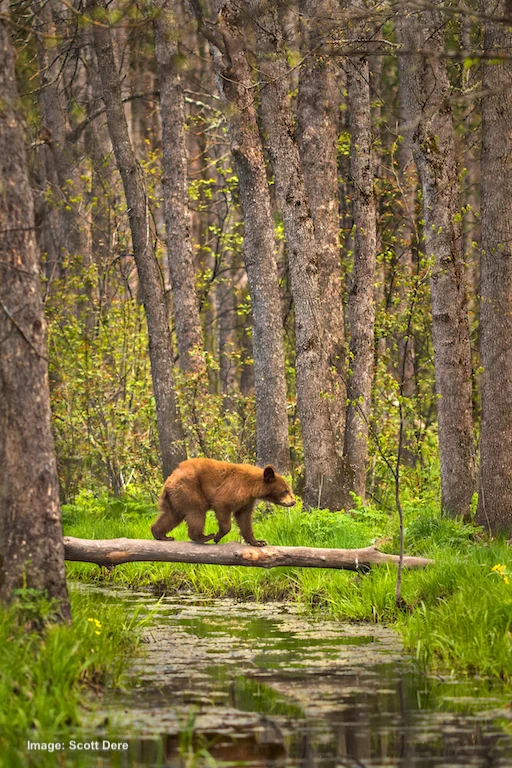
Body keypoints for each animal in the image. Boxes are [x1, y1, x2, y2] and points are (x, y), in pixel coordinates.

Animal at [151, 458, 295, 547]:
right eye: (285, 490)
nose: (293, 502)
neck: (252, 486)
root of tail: (170, 479)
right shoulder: (234, 489)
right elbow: (223, 506)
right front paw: (217, 536)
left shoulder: (247, 500)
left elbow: (244, 518)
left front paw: (258, 542)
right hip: (189, 490)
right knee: (196, 512)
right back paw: (204, 536)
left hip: (175, 499)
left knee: (171, 516)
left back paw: (161, 534)